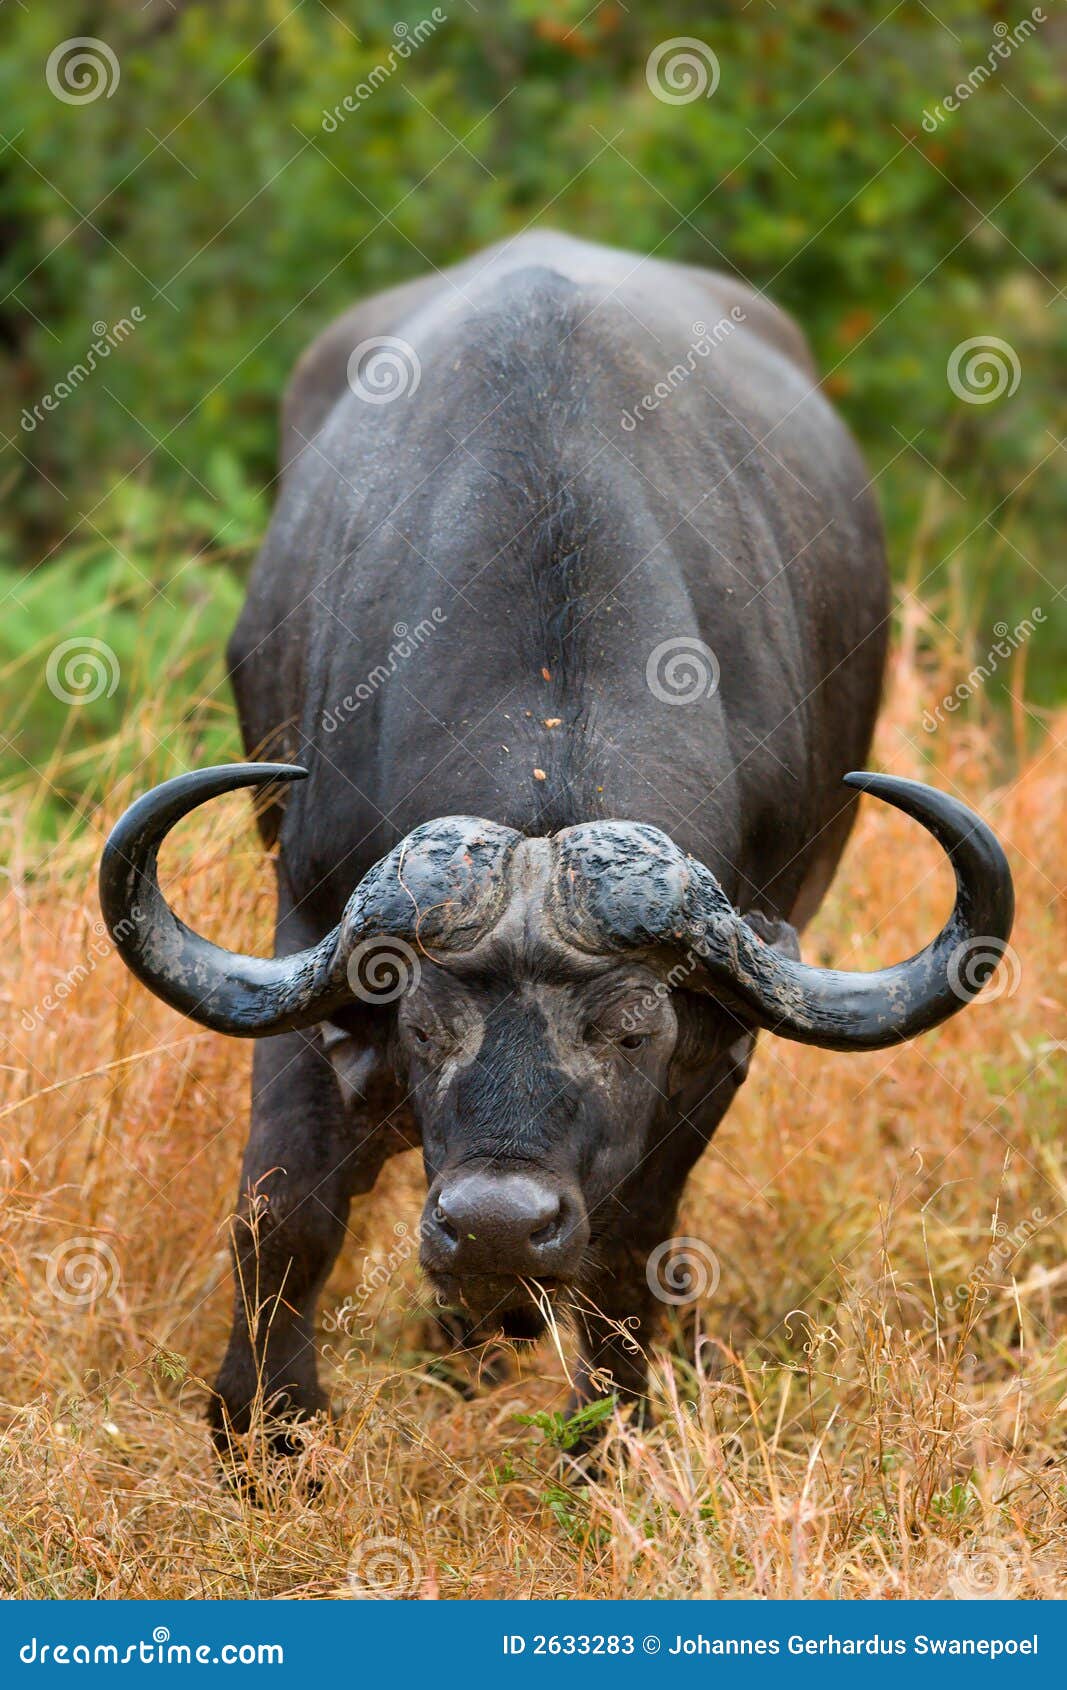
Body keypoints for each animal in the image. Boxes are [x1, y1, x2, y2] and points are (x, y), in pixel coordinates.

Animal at [100, 232, 1013, 1456]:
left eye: (630, 1032)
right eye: (424, 1025)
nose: (494, 1223)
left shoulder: (716, 1046)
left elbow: (626, 1252)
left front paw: (603, 1444)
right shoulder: (305, 935)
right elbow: (284, 1206)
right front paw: (265, 1436)